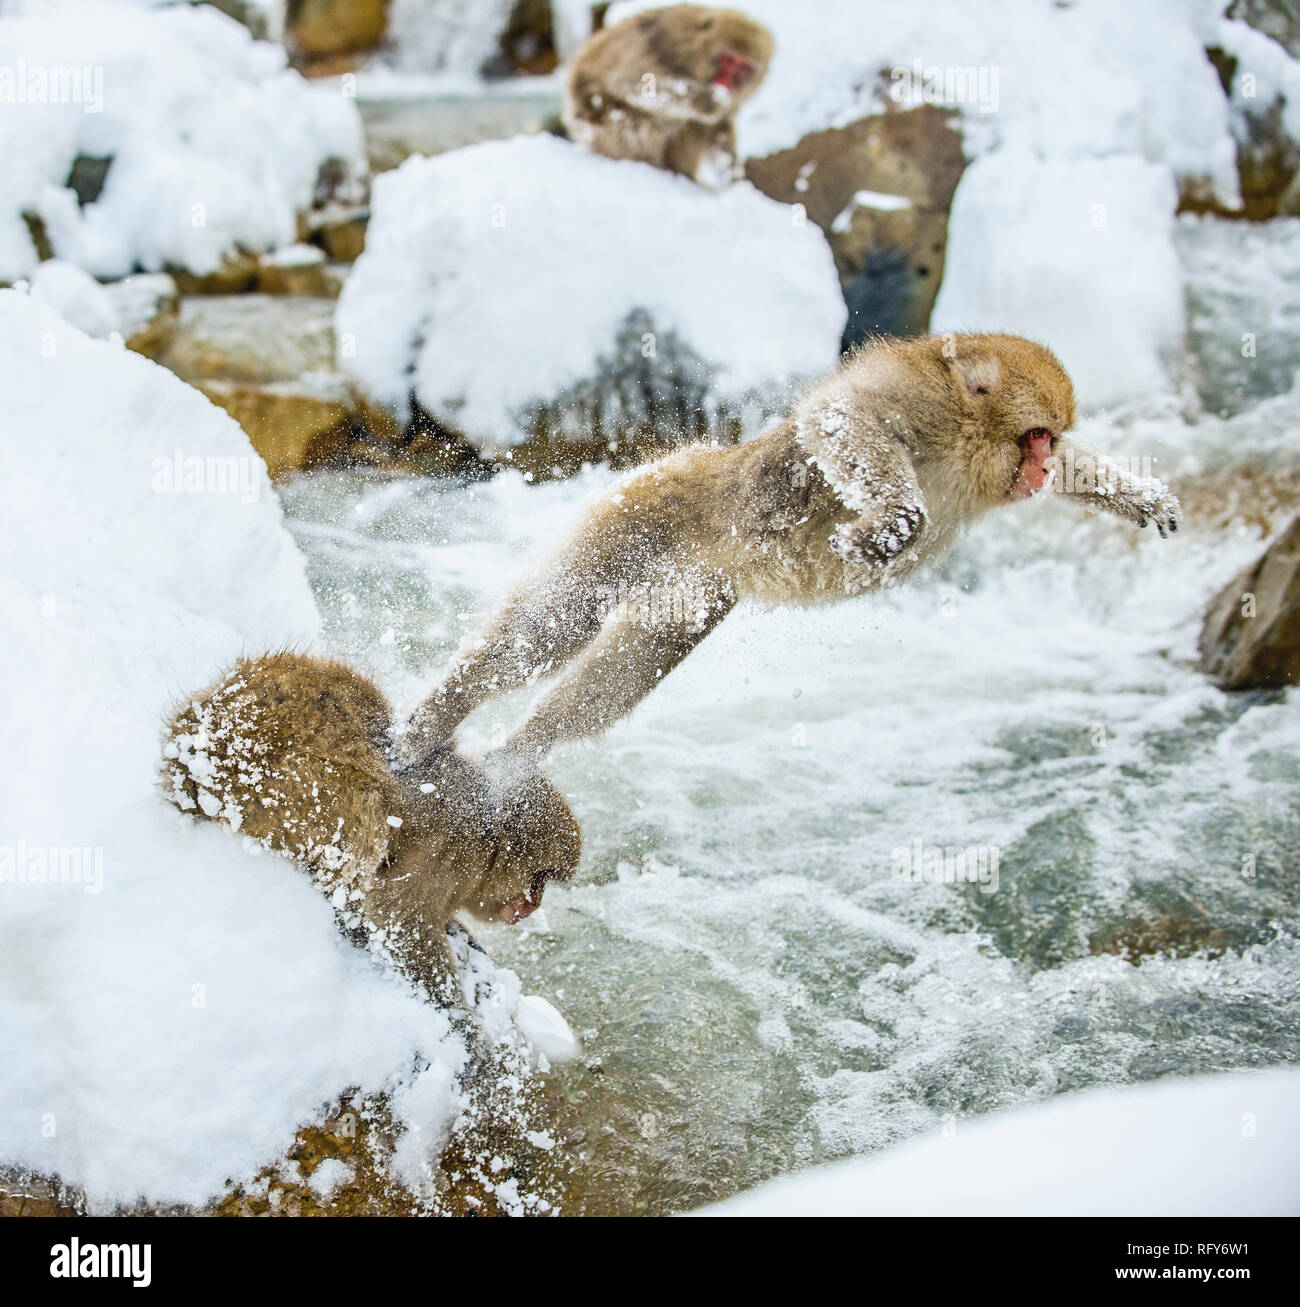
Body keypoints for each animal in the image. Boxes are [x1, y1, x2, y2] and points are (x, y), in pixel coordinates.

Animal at [162, 653, 581, 1007]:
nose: (534, 904)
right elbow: (398, 922)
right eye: (540, 880)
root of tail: (189, 750)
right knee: (367, 808)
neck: (488, 842)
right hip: (274, 785)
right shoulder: (449, 854)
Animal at [392, 334, 1181, 773]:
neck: (970, 435)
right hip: (643, 512)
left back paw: (514, 759)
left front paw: (1143, 498)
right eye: (1038, 436)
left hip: (690, 591)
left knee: (618, 673)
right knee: (548, 627)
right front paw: (893, 524)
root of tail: (697, 458)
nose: (1041, 469)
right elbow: (843, 420)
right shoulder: (916, 399)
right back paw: (437, 719)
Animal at [562, 4, 774, 187]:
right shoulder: (663, 46)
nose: (727, 83)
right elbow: (630, 82)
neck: (695, 56)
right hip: (596, 121)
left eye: (744, 68)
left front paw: (730, 170)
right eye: (729, 59)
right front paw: (705, 100)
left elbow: (718, 125)